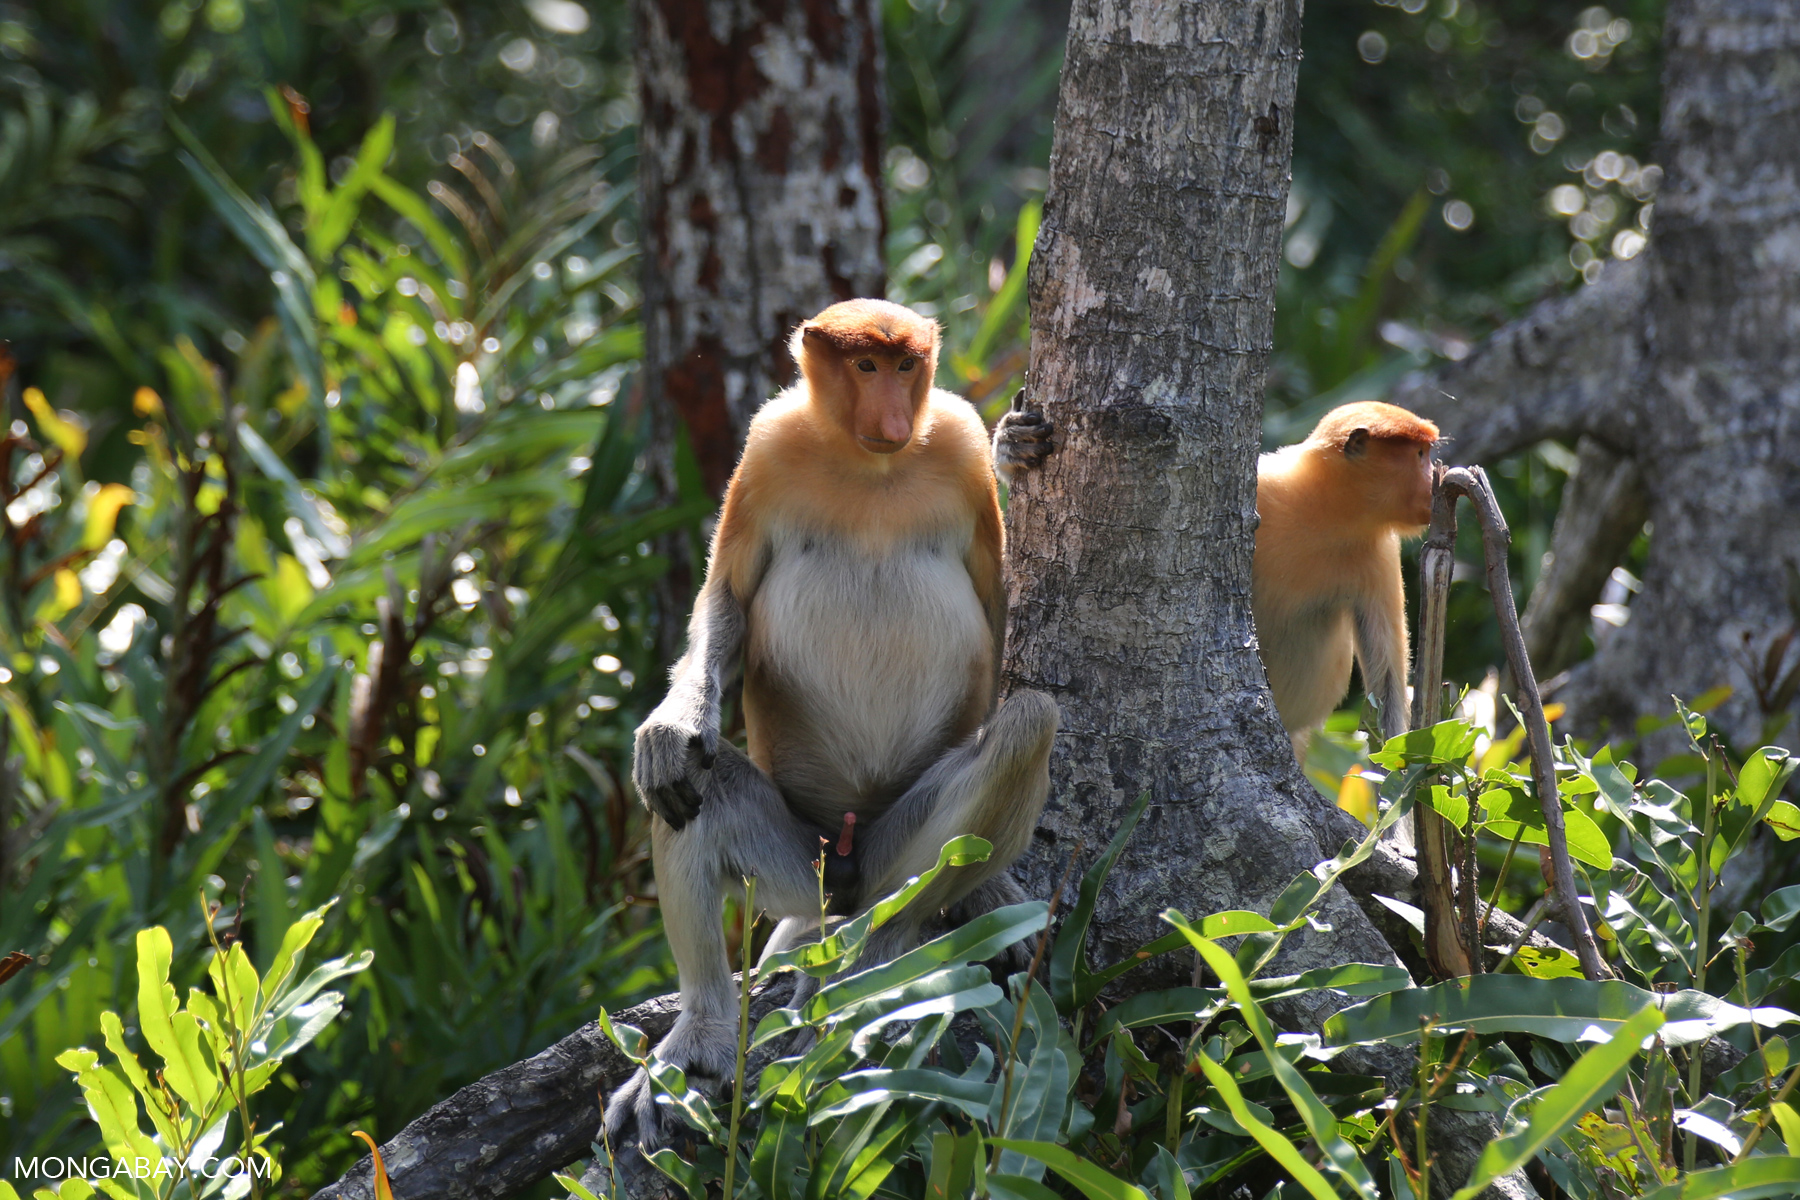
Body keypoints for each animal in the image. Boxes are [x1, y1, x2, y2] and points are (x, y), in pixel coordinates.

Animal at [608, 298, 1059, 1149]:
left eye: (907, 365)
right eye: (865, 366)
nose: (892, 419)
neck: (869, 464)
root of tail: (848, 874)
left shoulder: (950, 439)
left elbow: (1001, 606)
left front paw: (1014, 452)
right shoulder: (767, 449)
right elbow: (725, 602)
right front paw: (667, 727)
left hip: (893, 853)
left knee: (1026, 728)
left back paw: (883, 958)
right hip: (798, 867)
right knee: (691, 790)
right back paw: (701, 1039)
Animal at [1252, 401, 1440, 760]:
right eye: (1419, 454)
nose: (1433, 481)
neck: (1327, 514)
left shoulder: (1379, 556)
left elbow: (1386, 681)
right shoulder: (1263, 488)